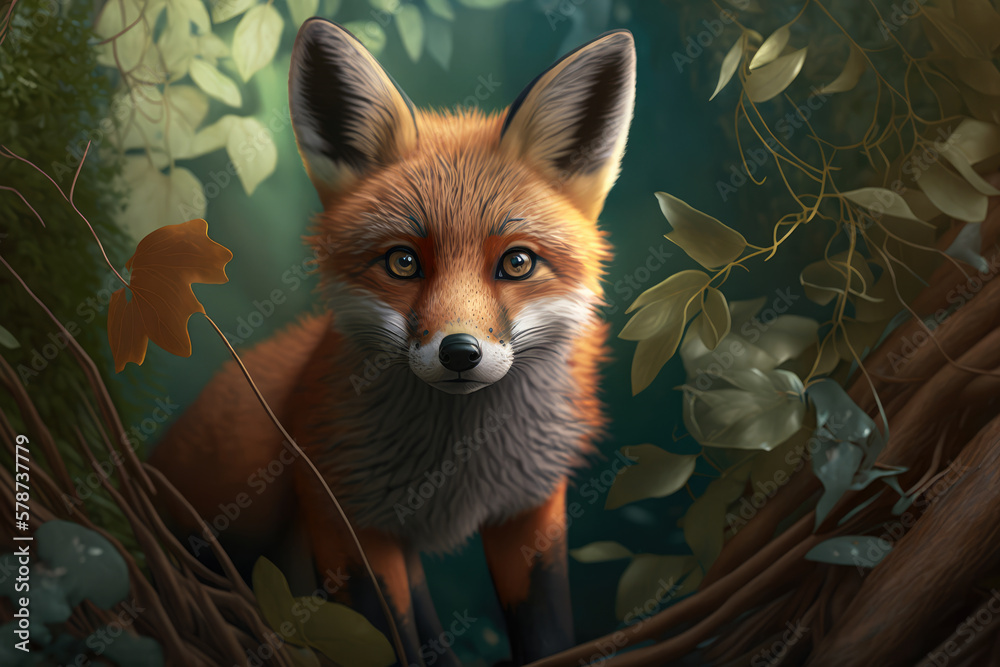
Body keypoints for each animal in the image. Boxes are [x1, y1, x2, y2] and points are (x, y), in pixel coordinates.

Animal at [151, 19, 636, 667]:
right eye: (403, 262)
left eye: (517, 263)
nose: (460, 353)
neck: (457, 470)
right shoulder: (345, 516)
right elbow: (389, 639)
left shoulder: (530, 506)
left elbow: (546, 633)